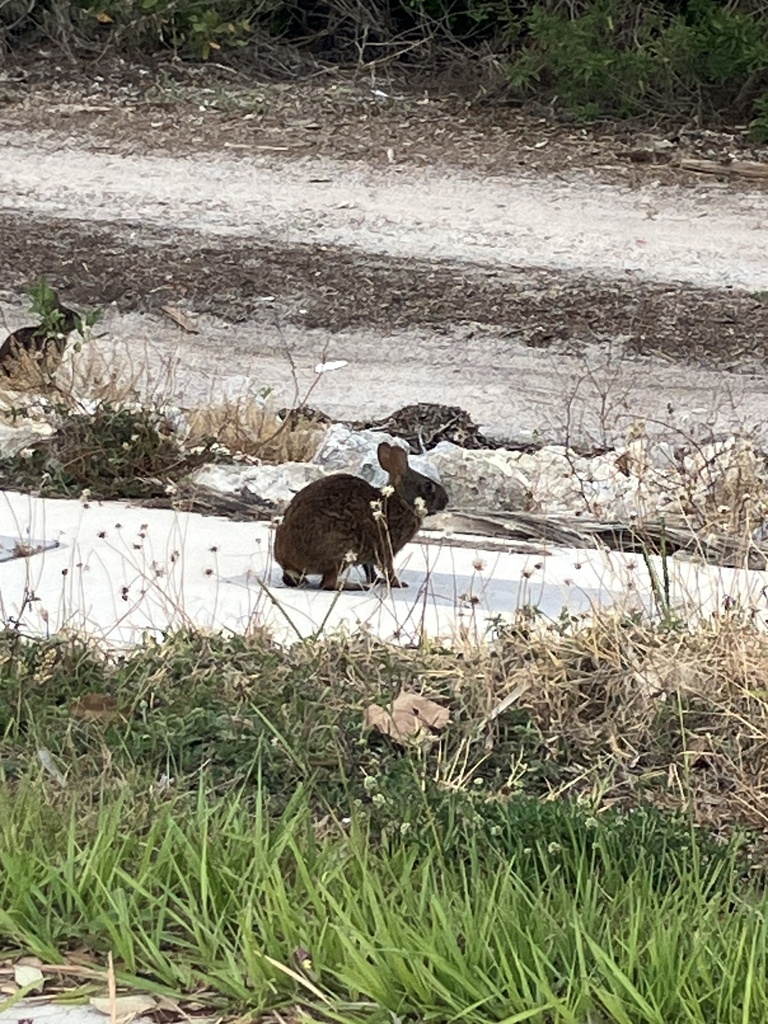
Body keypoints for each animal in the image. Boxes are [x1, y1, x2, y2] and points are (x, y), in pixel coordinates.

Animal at [274, 441, 448, 590]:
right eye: (427, 486)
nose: (446, 500)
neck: (401, 501)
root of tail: (287, 562)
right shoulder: (385, 548)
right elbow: (388, 568)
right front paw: (398, 583)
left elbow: (369, 568)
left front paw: (378, 581)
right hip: (342, 549)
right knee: (328, 583)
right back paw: (357, 586)